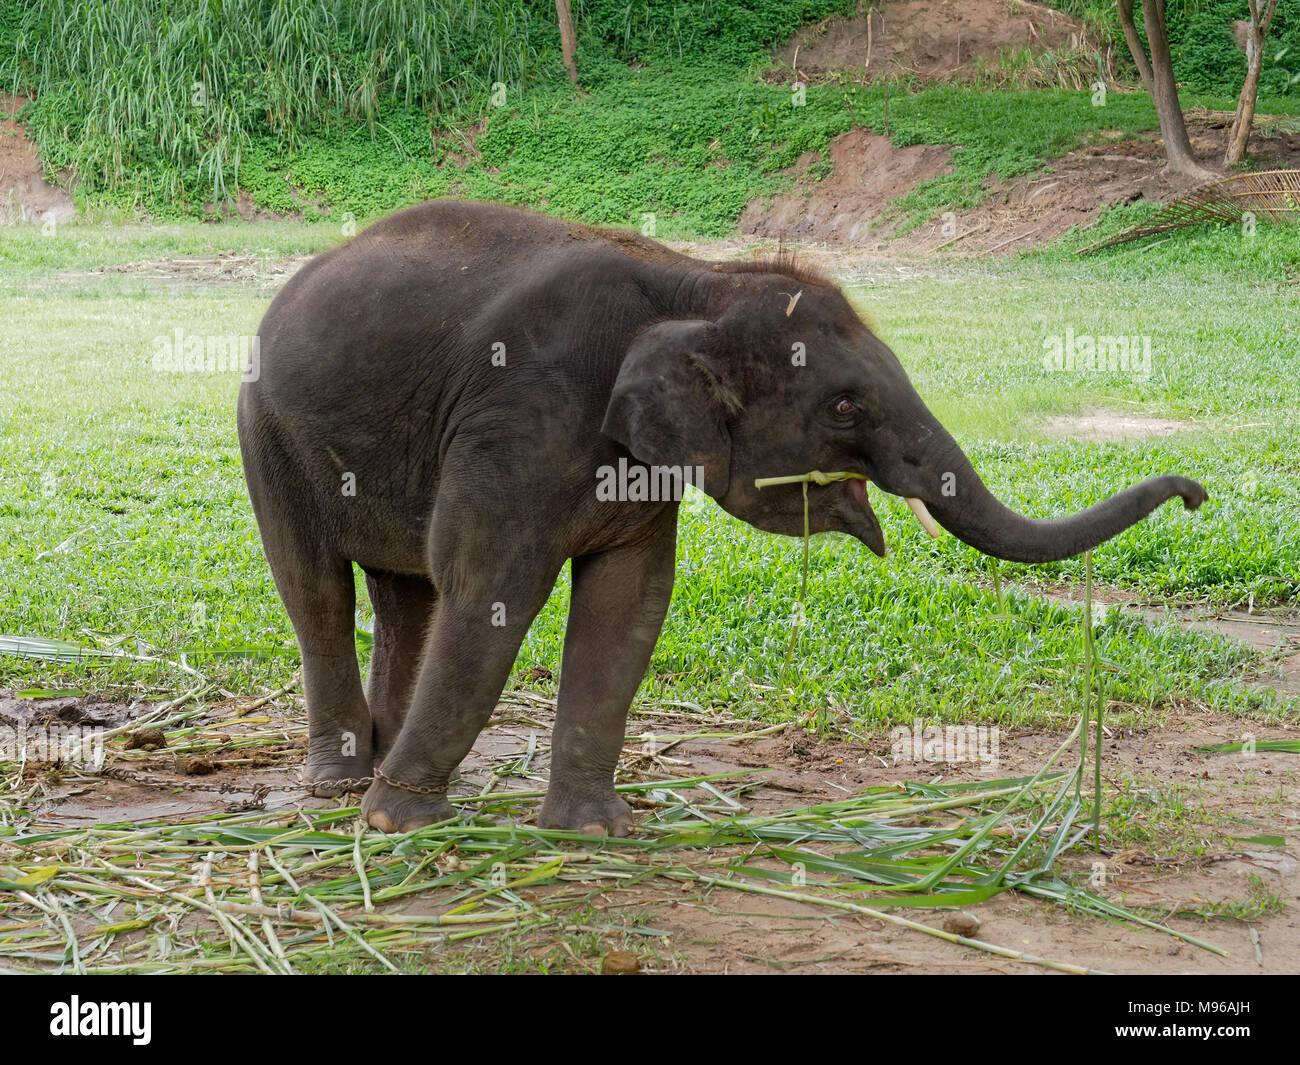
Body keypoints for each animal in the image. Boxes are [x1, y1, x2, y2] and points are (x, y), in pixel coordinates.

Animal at [236, 200, 1206, 835]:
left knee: (406, 595)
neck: (696, 282)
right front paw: (397, 826)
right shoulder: (517, 422)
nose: (1195, 495)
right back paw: (342, 786)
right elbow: (489, 591)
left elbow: (628, 602)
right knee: (318, 590)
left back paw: (396, 767)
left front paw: (591, 833)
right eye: (845, 405)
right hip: (266, 429)